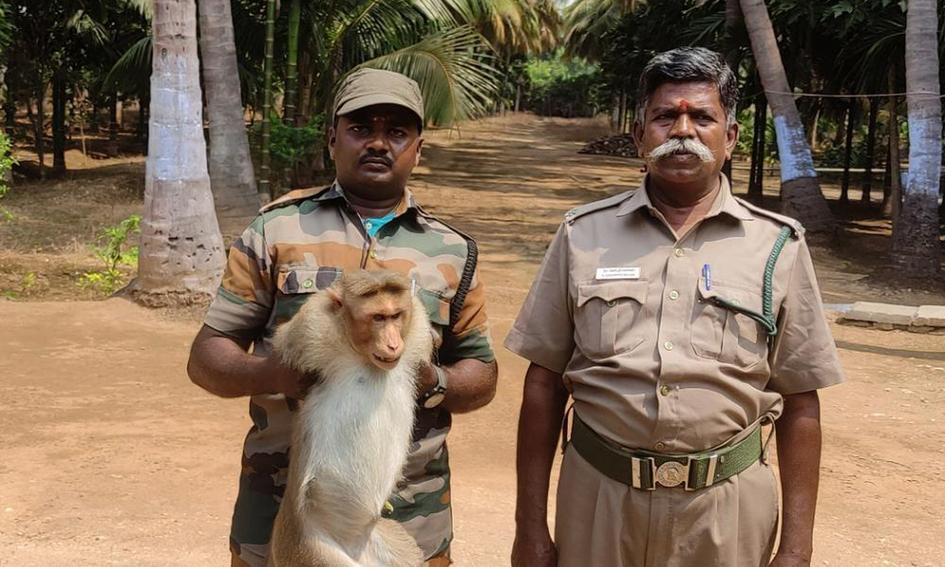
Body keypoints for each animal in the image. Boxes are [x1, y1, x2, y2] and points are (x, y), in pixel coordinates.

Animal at [267, 270, 431, 567]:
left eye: (396, 315)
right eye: (378, 317)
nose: (393, 343)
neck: (361, 355)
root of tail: (355, 546)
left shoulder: (418, 327)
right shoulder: (311, 326)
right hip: (310, 551)